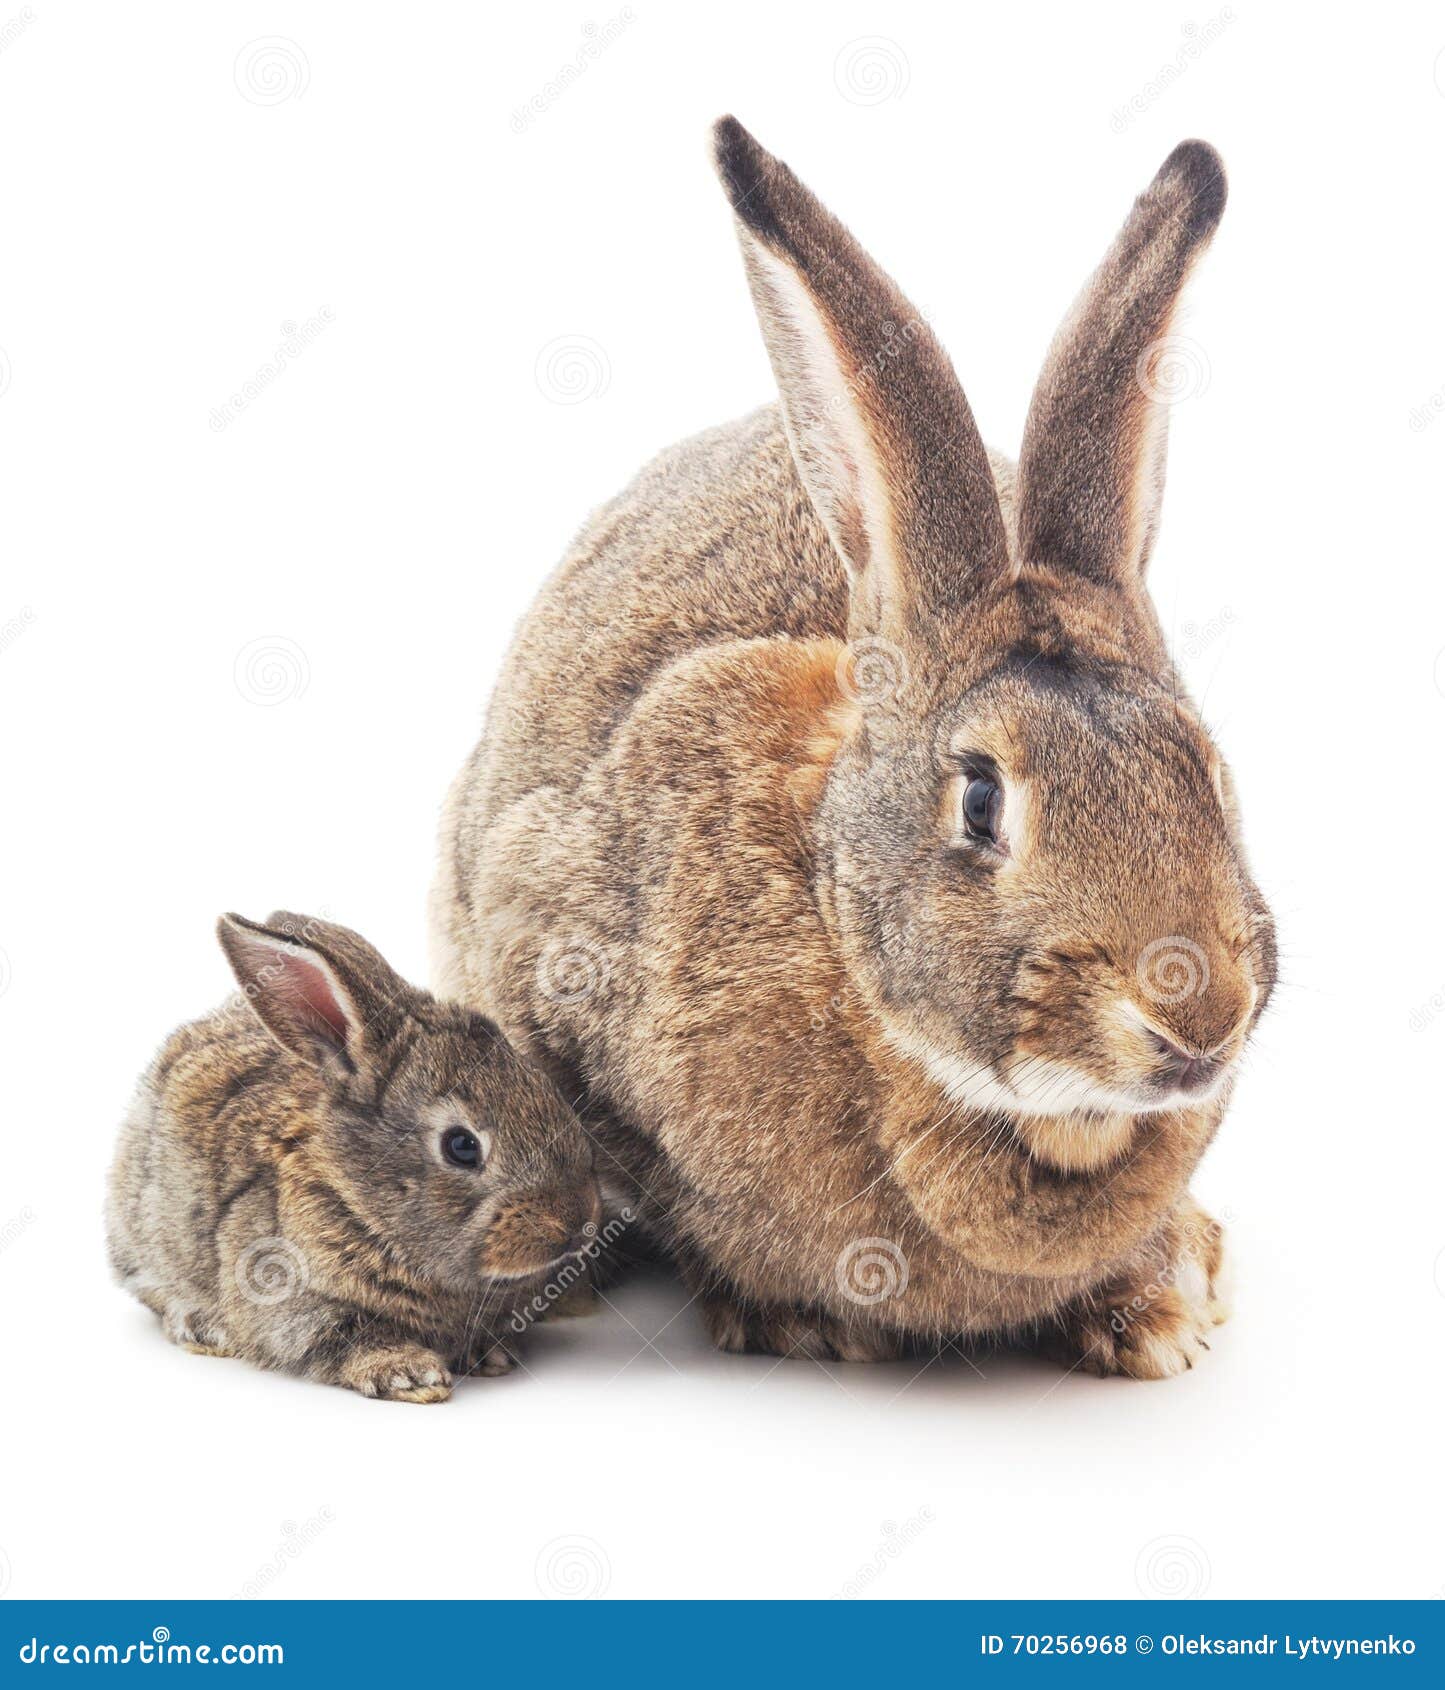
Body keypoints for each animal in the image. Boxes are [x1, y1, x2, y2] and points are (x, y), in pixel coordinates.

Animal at [107, 911, 601, 1402]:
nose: (576, 1219)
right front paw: (411, 1375)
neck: (354, 1199)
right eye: (461, 1146)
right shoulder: (290, 1299)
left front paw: (489, 1356)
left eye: (546, 1087)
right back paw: (204, 1328)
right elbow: (346, 1338)